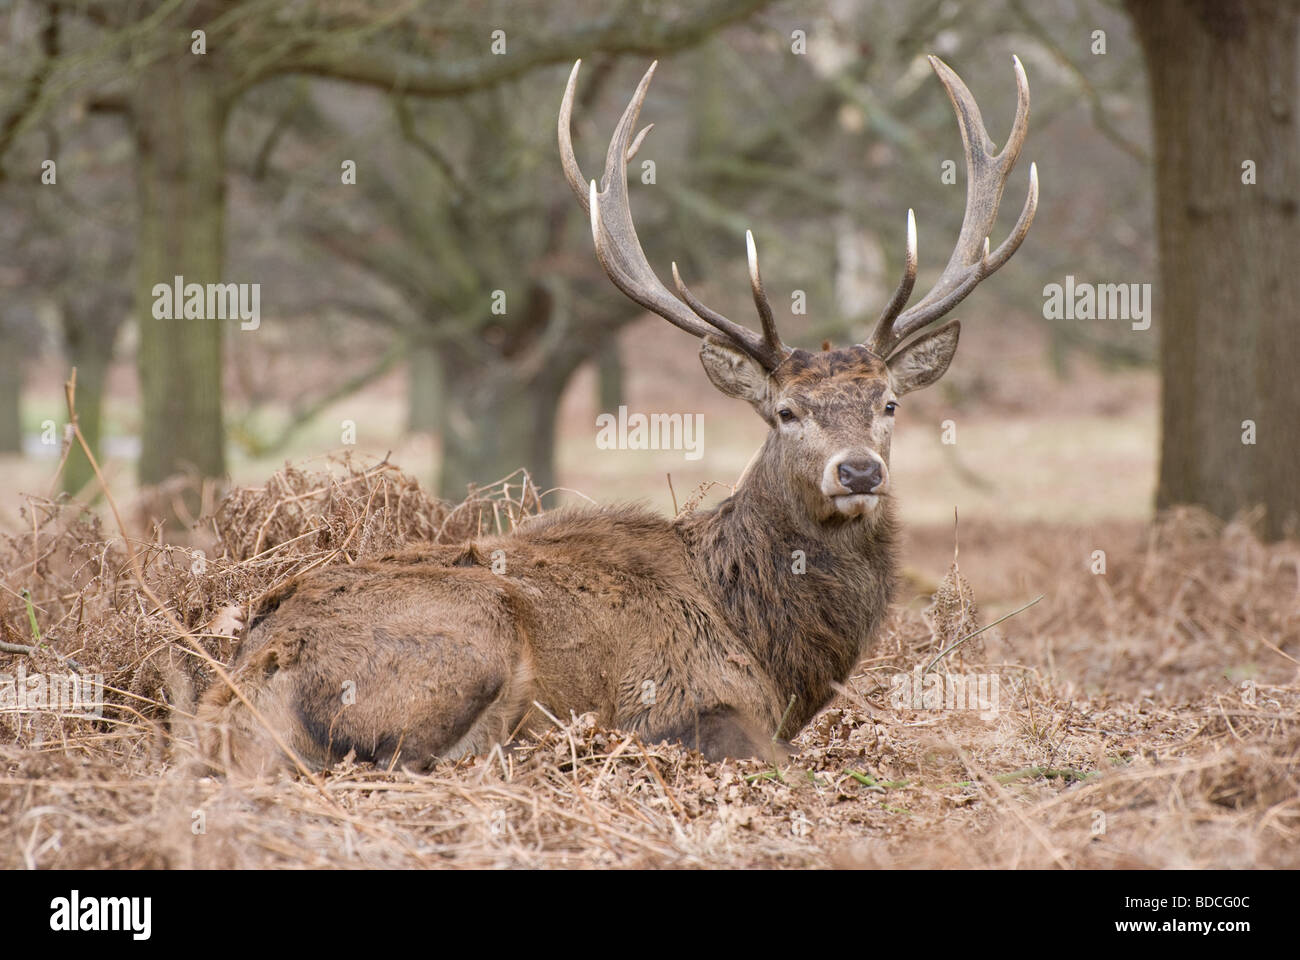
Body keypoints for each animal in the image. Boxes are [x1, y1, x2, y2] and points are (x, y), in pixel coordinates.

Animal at [198, 55, 1037, 777]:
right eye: (785, 412)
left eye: (888, 402)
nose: (859, 470)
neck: (770, 645)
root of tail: (253, 671)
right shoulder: (687, 699)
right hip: (462, 648)